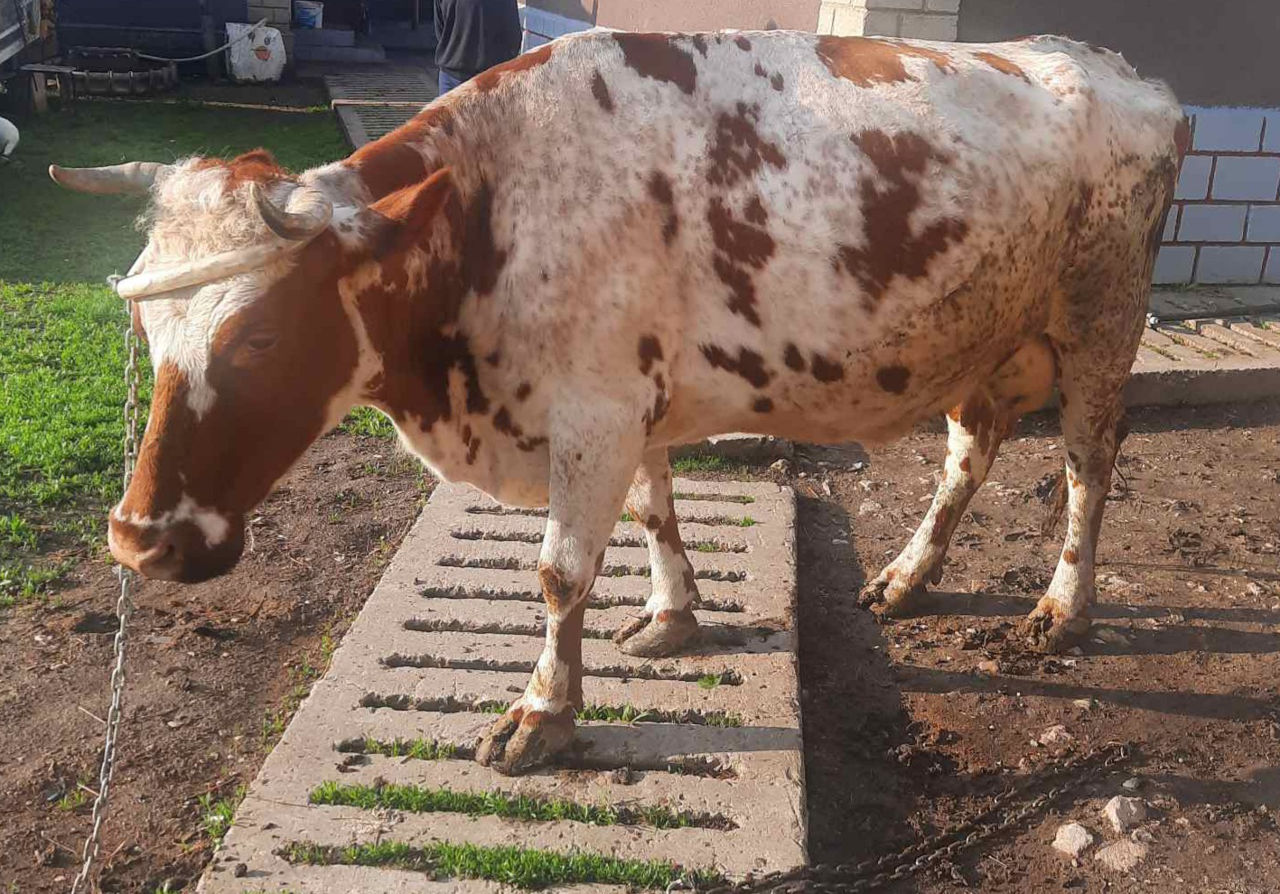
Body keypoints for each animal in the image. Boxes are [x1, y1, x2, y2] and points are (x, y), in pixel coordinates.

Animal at [50, 29, 1186, 775]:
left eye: (261, 336)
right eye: (145, 330)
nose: (139, 539)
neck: (490, 214)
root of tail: (1112, 68)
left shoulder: (591, 415)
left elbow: (560, 574)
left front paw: (543, 714)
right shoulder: (625, 404)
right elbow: (652, 510)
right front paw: (673, 616)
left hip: (1099, 322)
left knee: (1088, 463)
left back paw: (1061, 610)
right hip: (985, 336)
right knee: (970, 450)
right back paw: (907, 577)